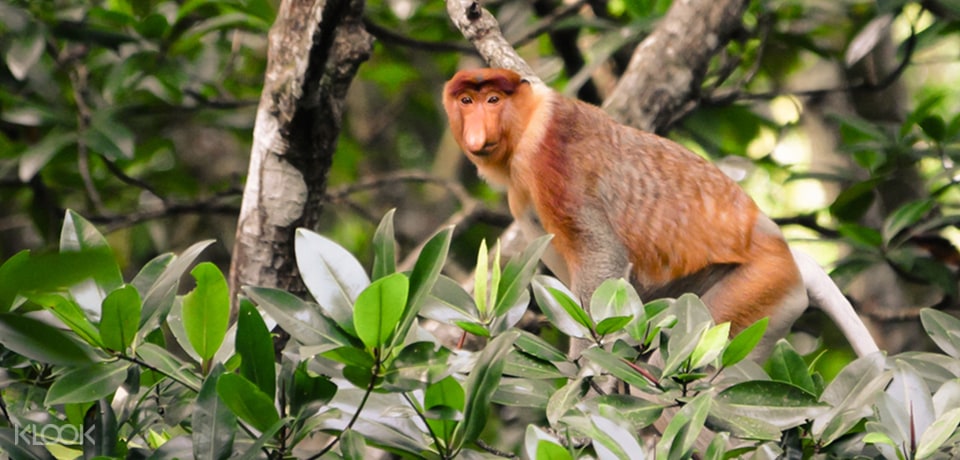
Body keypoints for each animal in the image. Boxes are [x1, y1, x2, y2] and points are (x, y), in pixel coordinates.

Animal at [443, 68, 879, 359]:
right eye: (467, 101)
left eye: (493, 100)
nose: (477, 132)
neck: (529, 123)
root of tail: (783, 247)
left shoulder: (551, 157)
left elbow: (601, 255)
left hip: (760, 288)